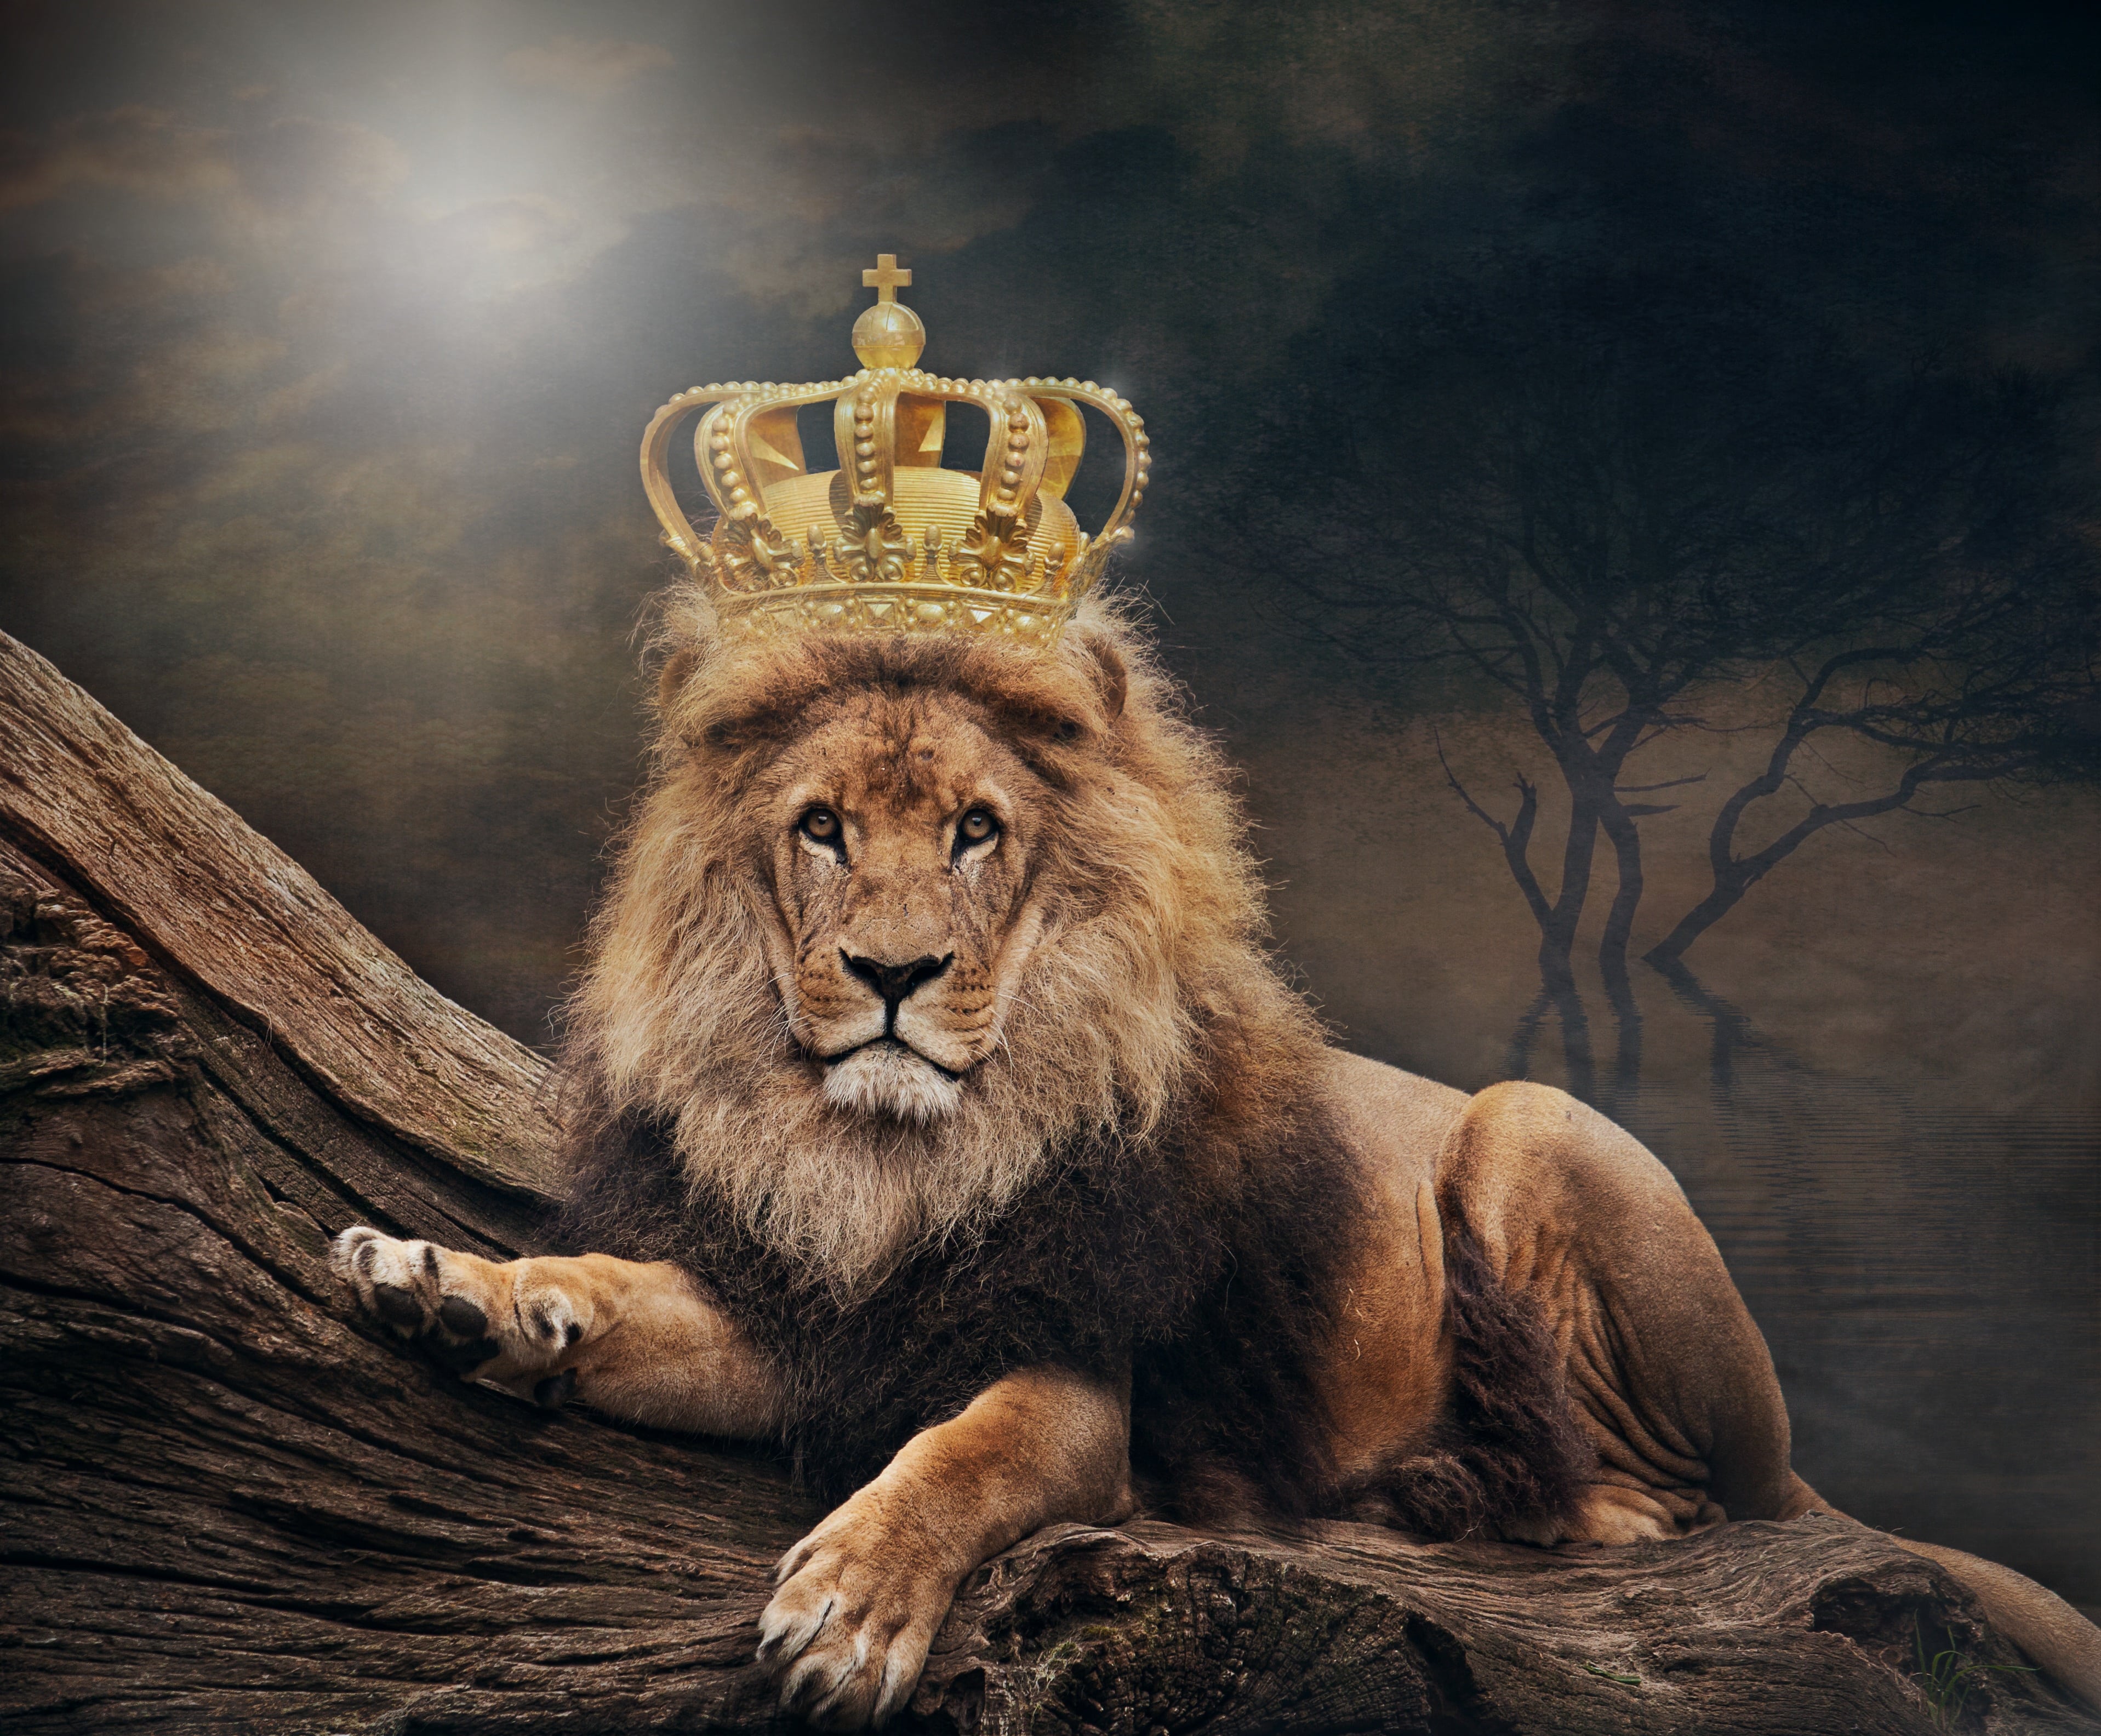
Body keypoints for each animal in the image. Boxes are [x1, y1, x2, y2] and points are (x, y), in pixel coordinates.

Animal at [333, 594, 2101, 1728]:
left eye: (976, 830)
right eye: (822, 827)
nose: (894, 975)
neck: (889, 1159)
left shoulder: (1076, 1383)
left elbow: (961, 1458)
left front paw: (848, 1611)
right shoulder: (824, 1317)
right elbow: (628, 1294)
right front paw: (460, 1286)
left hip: (1530, 1123)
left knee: (1686, 1504)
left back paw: (1484, 1497)